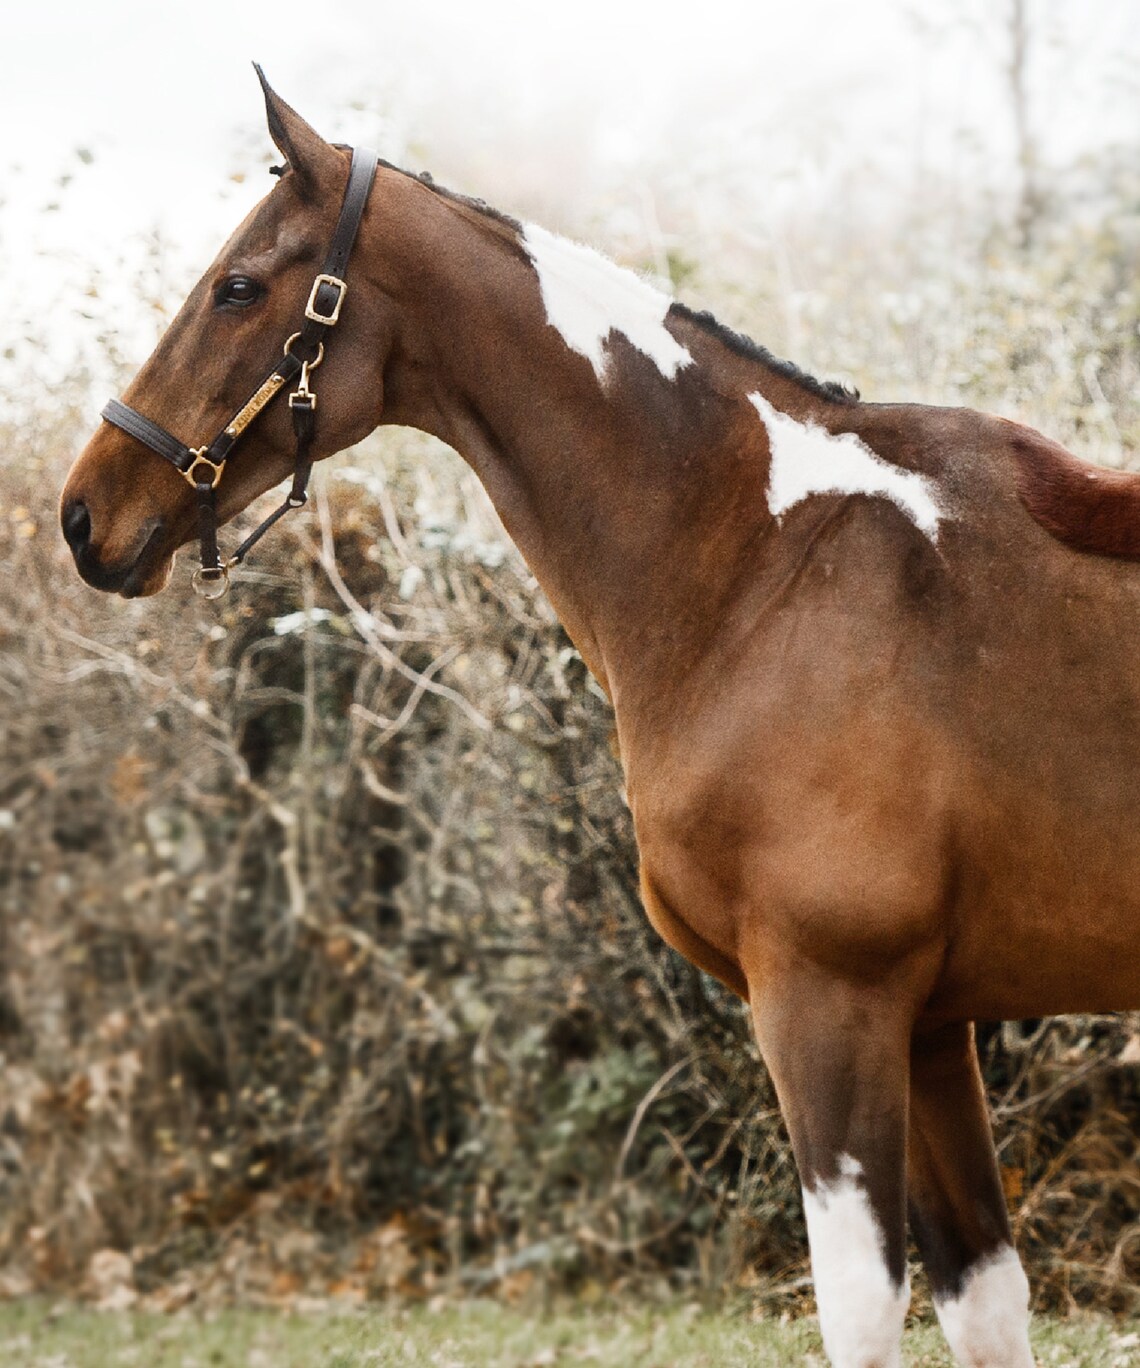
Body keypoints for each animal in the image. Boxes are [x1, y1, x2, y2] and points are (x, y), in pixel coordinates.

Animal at [59, 72, 1139, 1368]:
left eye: (236, 286)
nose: (83, 513)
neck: (764, 565)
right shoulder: (933, 1026)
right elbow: (985, 1298)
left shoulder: (832, 1001)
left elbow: (860, 1305)